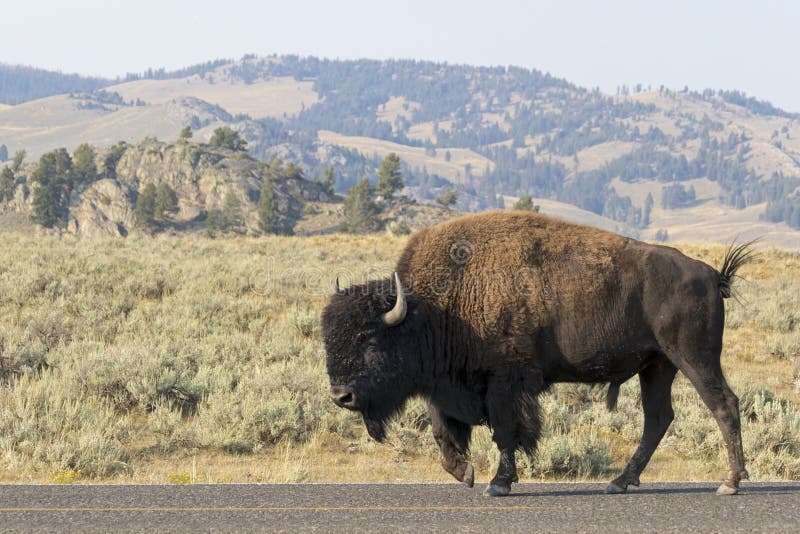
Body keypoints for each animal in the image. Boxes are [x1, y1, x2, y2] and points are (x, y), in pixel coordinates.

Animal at [322, 211, 754, 496]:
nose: (342, 396)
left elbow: (505, 431)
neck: (432, 308)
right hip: (657, 366)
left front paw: (498, 484)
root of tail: (710, 273)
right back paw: (619, 482)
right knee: (658, 418)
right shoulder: (447, 385)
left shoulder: (504, 383)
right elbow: (443, 430)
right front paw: (465, 472)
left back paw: (729, 483)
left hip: (693, 358)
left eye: (370, 339)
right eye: (330, 338)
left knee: (723, 405)